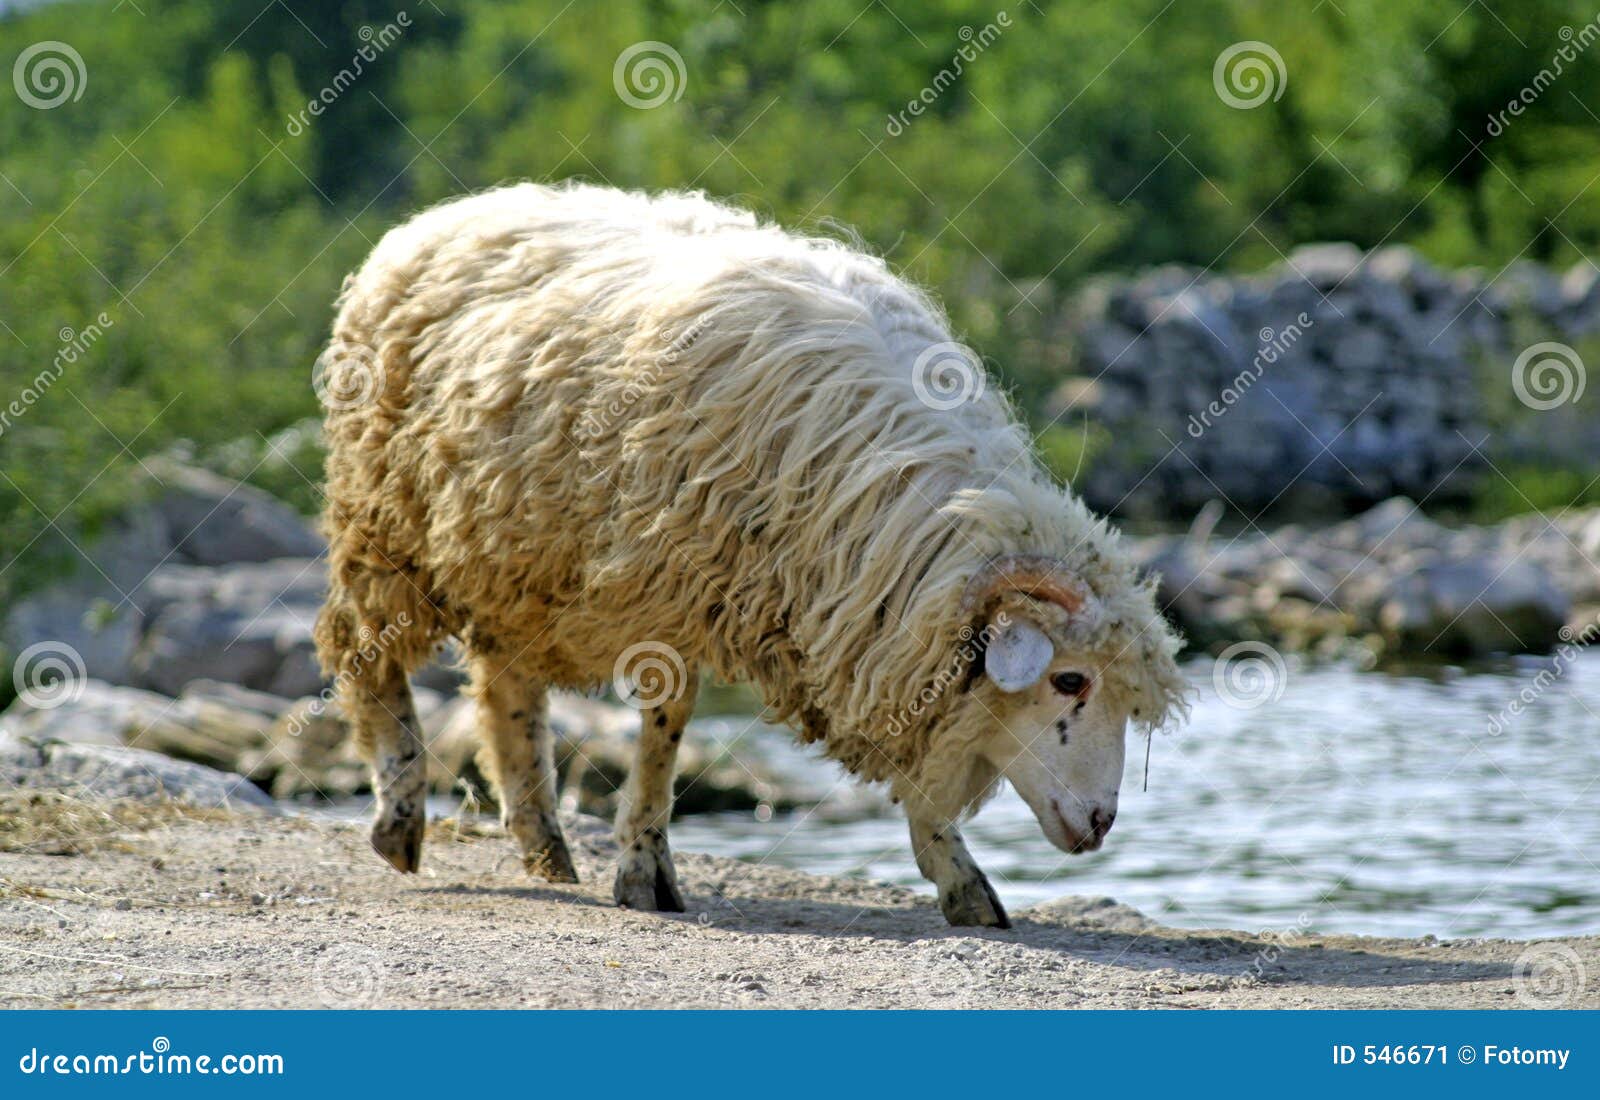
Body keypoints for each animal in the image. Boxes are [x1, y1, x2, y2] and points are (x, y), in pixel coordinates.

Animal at [312, 182, 1189, 928]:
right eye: (1068, 681)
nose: (1102, 823)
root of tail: (445, 212)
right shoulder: (671, 585)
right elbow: (665, 733)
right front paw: (646, 870)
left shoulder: (874, 627)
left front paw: (959, 876)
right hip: (383, 520)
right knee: (365, 651)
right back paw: (400, 815)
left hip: (510, 552)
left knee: (506, 694)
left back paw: (544, 844)